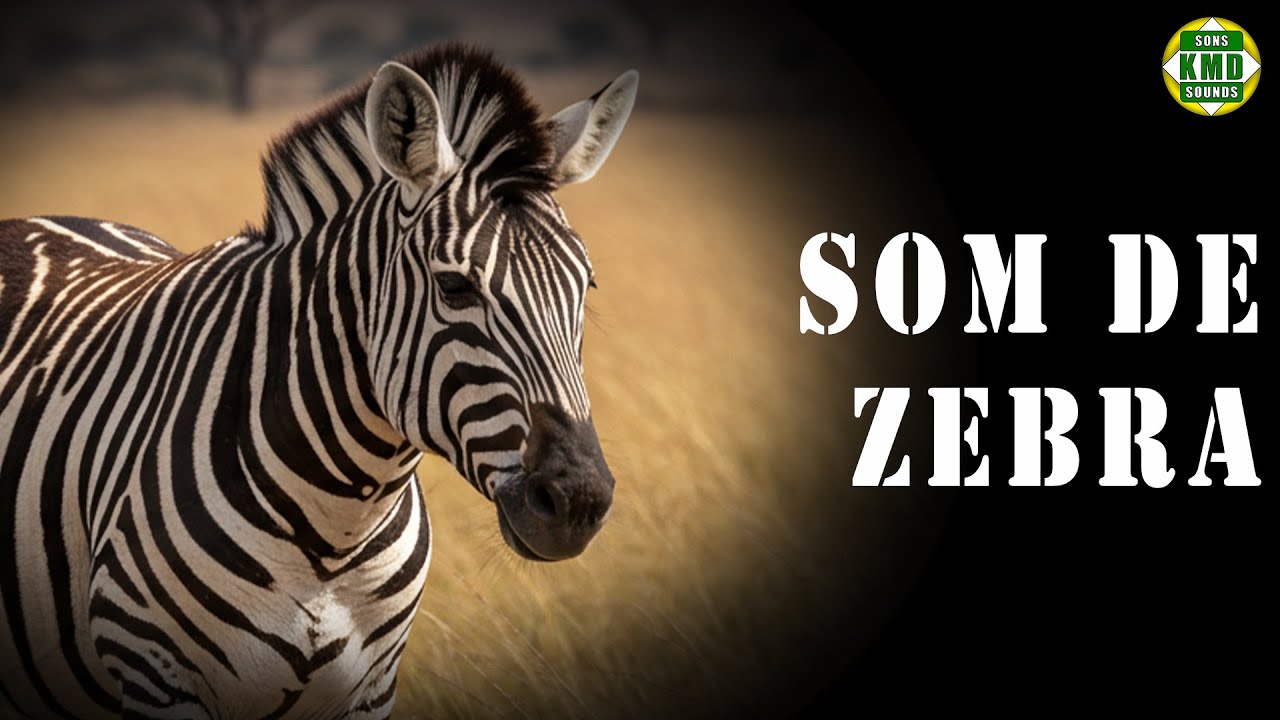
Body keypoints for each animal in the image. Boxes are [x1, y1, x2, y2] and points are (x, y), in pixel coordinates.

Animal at [0, 44, 635, 718]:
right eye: (454, 286)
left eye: (586, 286)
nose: (577, 502)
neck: (337, 528)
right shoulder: (158, 677)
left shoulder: (370, 689)